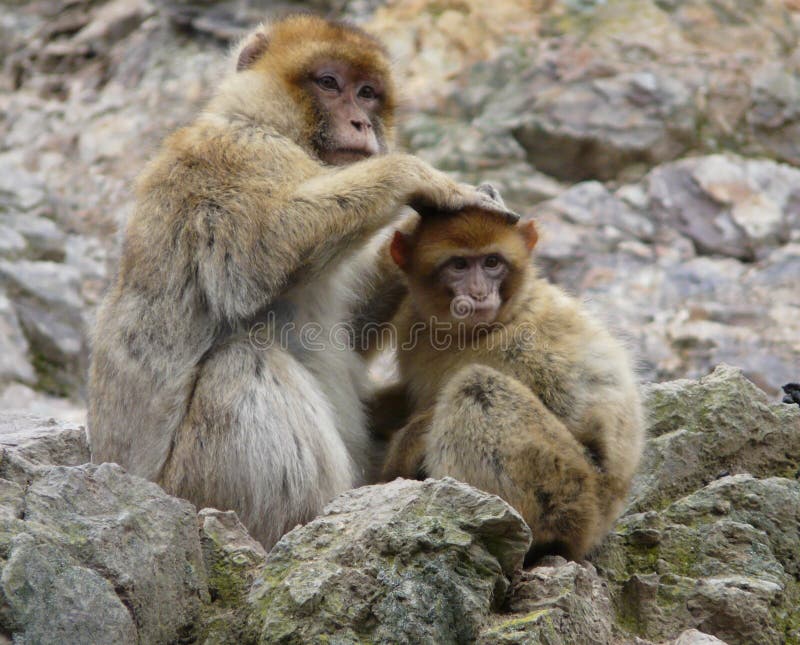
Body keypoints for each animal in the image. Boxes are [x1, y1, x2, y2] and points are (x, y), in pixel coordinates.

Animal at [87, 15, 518, 550]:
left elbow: (352, 329)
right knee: (244, 362)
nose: (360, 123)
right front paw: (419, 176)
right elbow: (255, 259)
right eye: (329, 83)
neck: (271, 126)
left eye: (368, 93)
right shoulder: (233, 158)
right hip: (195, 487)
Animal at [380, 209, 645, 563]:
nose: (479, 293)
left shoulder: (524, 344)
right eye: (459, 264)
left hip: (567, 487)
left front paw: (402, 449)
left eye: (492, 262)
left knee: (477, 387)